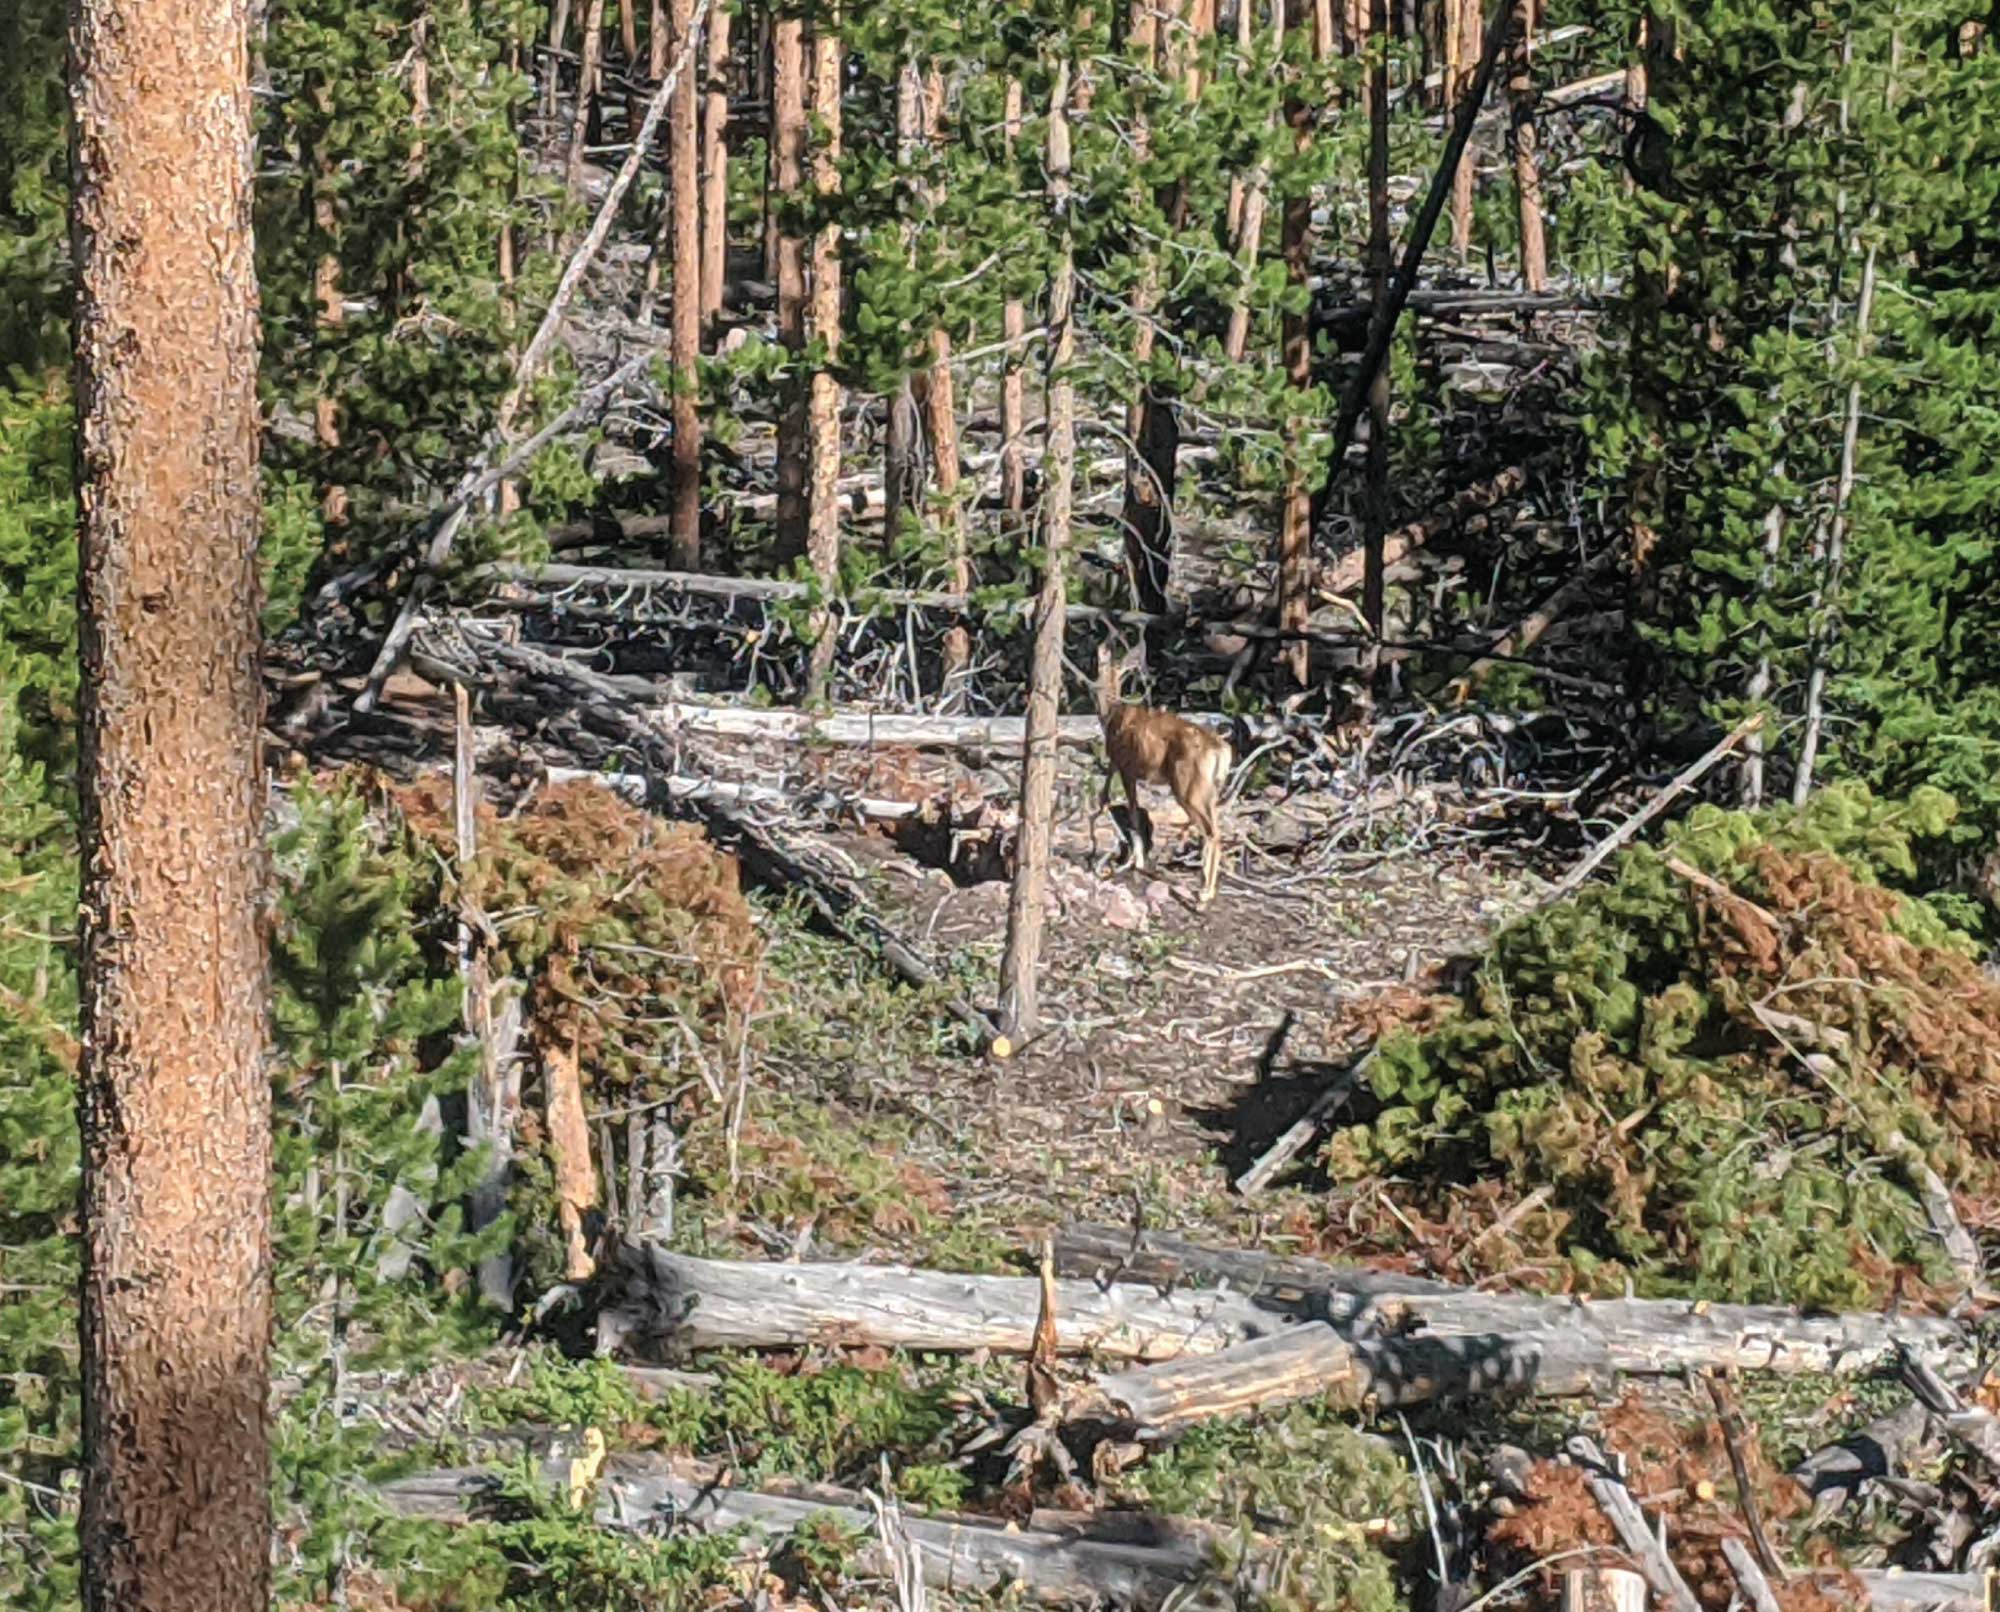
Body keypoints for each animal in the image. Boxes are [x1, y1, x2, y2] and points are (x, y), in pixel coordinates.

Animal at [1089, 635, 1232, 906]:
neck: (1112, 713)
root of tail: (1221, 750)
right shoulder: (1116, 765)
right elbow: (1105, 798)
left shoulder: (1126, 767)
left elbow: (1133, 813)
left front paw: (1137, 861)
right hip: (1210, 789)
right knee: (1216, 828)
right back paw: (1205, 887)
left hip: (1187, 787)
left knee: (1211, 832)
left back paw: (1204, 895)